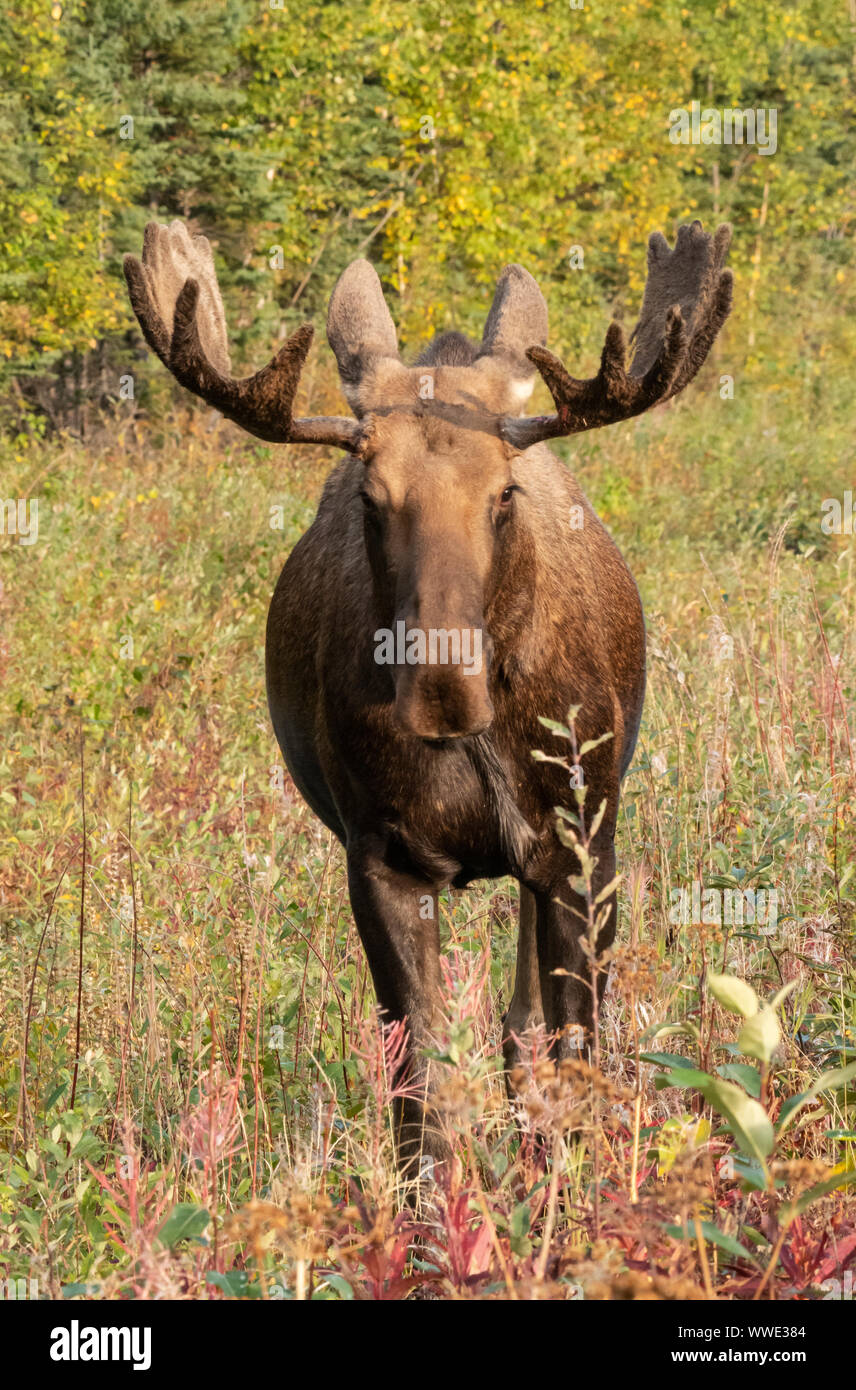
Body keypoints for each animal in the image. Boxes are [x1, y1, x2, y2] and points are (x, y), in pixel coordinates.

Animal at [124, 219, 732, 1177]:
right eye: (369, 498)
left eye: (505, 493)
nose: (444, 686)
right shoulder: (379, 857)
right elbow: (425, 1087)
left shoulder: (581, 841)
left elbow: (575, 1051)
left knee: (526, 1024)